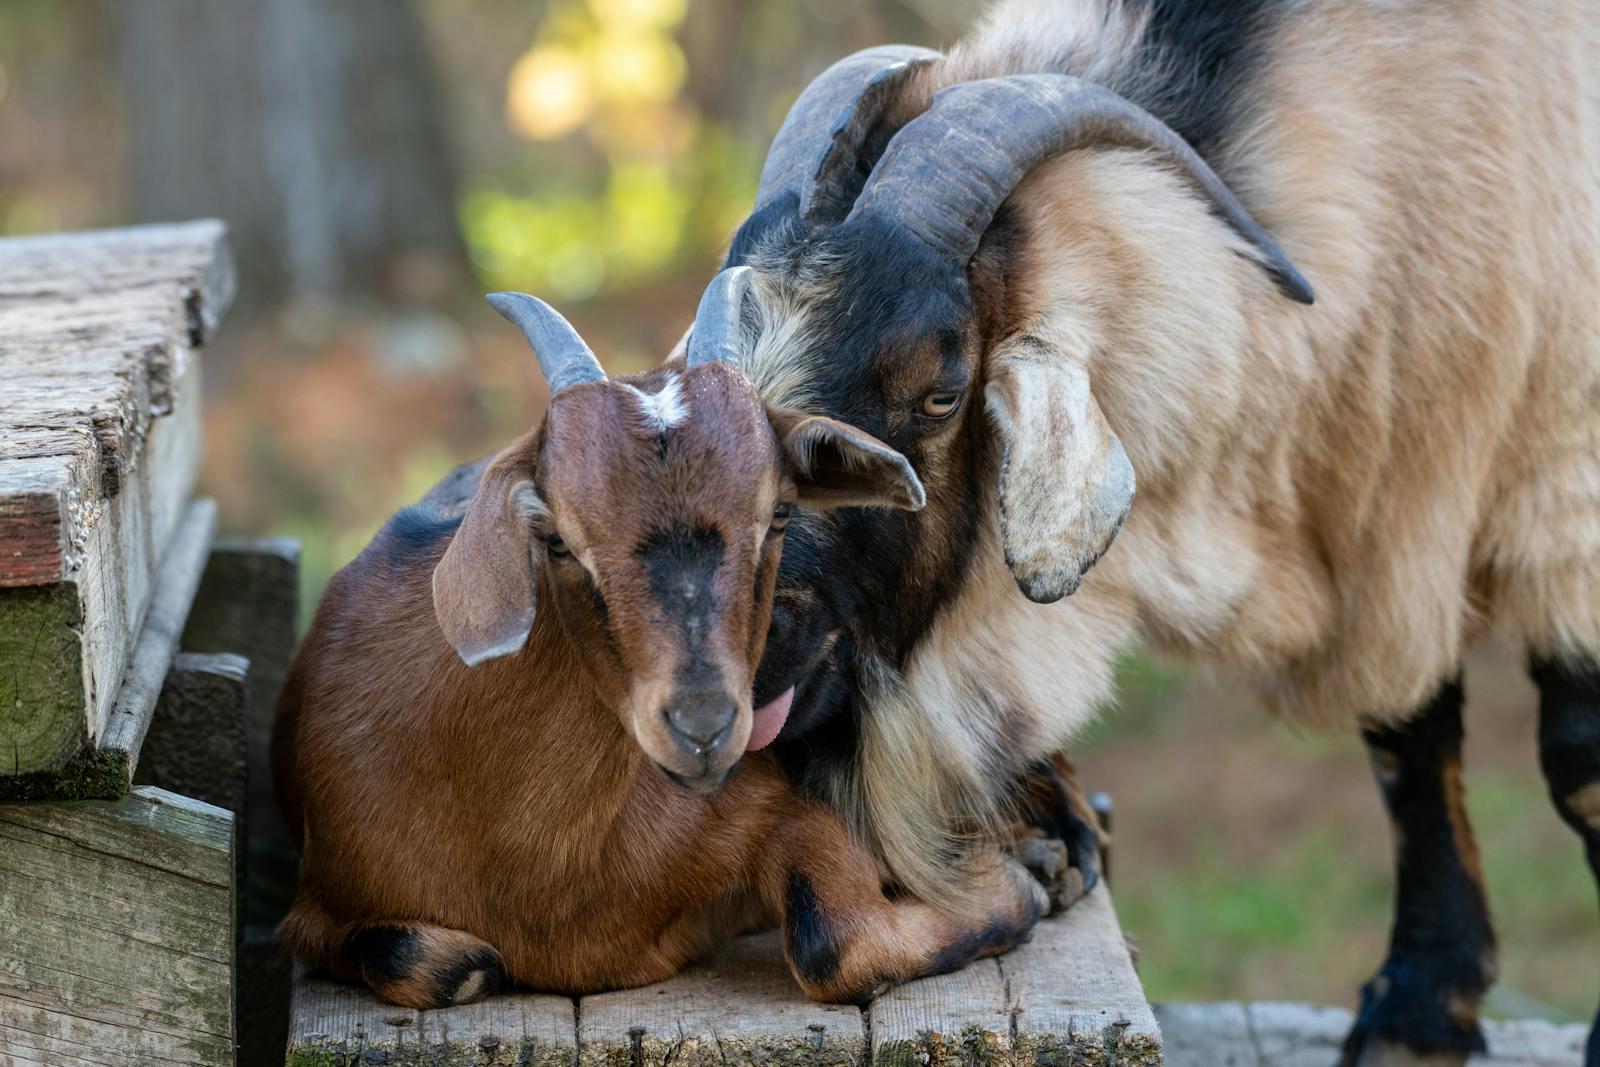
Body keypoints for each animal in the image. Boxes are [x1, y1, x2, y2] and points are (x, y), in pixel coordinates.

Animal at [271, 274, 1050, 1009]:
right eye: (557, 537)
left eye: (779, 513)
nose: (703, 727)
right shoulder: (314, 906)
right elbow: (429, 960)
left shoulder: (784, 807)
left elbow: (835, 942)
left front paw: (1015, 883)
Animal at [683, 2, 1600, 1063]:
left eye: (941, 391)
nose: (722, 658)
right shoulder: (1388, 518)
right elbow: (1408, 743)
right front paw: (1419, 1012)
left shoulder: (1560, 483)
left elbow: (1575, 762)